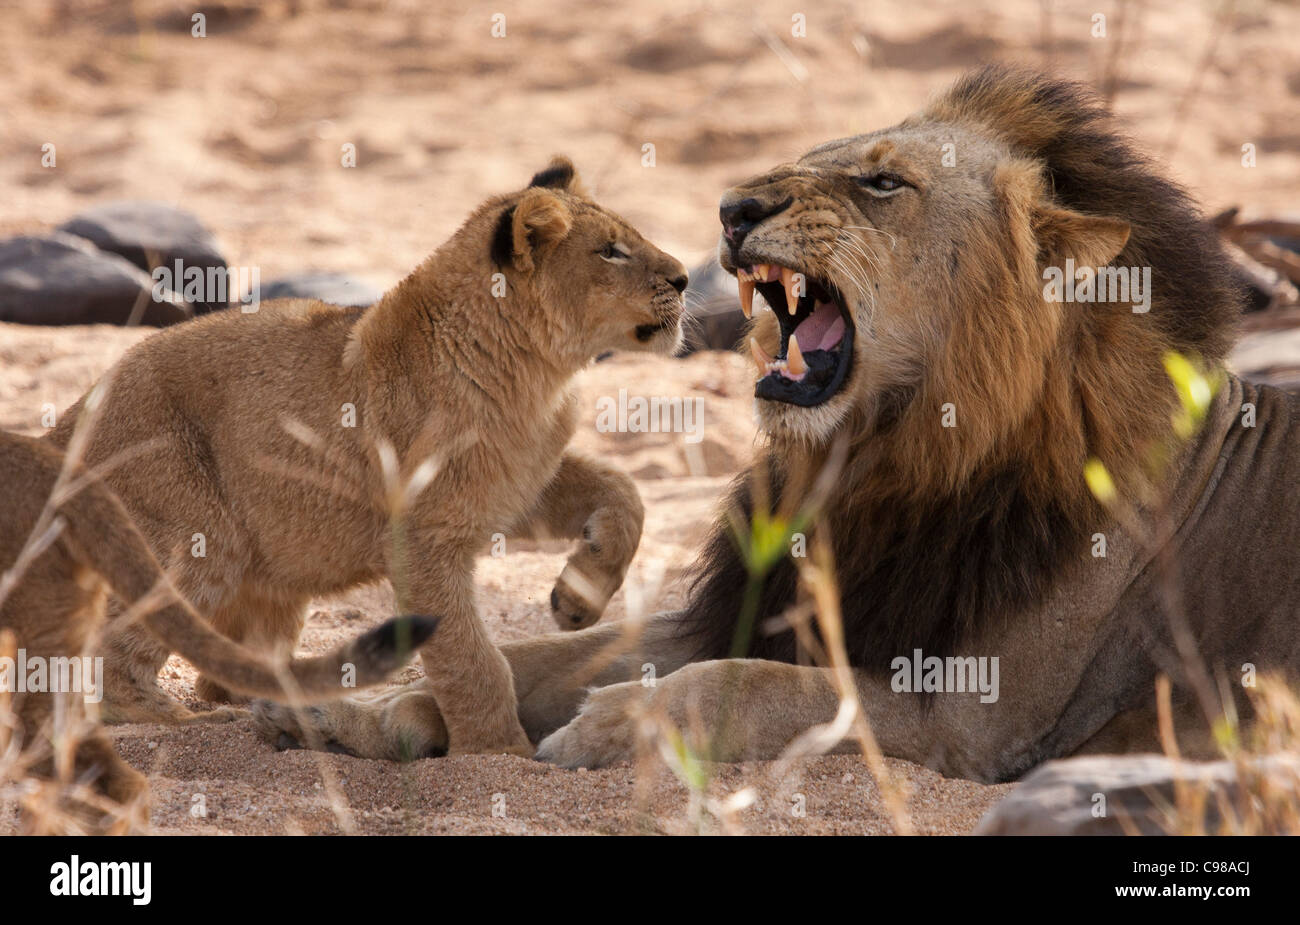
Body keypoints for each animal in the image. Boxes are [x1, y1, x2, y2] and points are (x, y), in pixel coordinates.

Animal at [47, 157, 687, 757]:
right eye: (611, 251)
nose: (682, 279)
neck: (538, 377)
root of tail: (71, 416)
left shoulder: (517, 484)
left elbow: (622, 490)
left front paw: (578, 599)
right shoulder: (423, 532)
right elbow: (471, 659)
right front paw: (500, 751)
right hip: (194, 532)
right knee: (111, 656)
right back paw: (185, 721)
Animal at [255, 67, 1299, 783]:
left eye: (883, 183)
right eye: (821, 157)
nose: (733, 207)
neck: (886, 463)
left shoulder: (983, 721)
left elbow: (756, 686)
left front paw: (611, 723)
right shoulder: (744, 606)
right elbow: (537, 654)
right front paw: (371, 707)